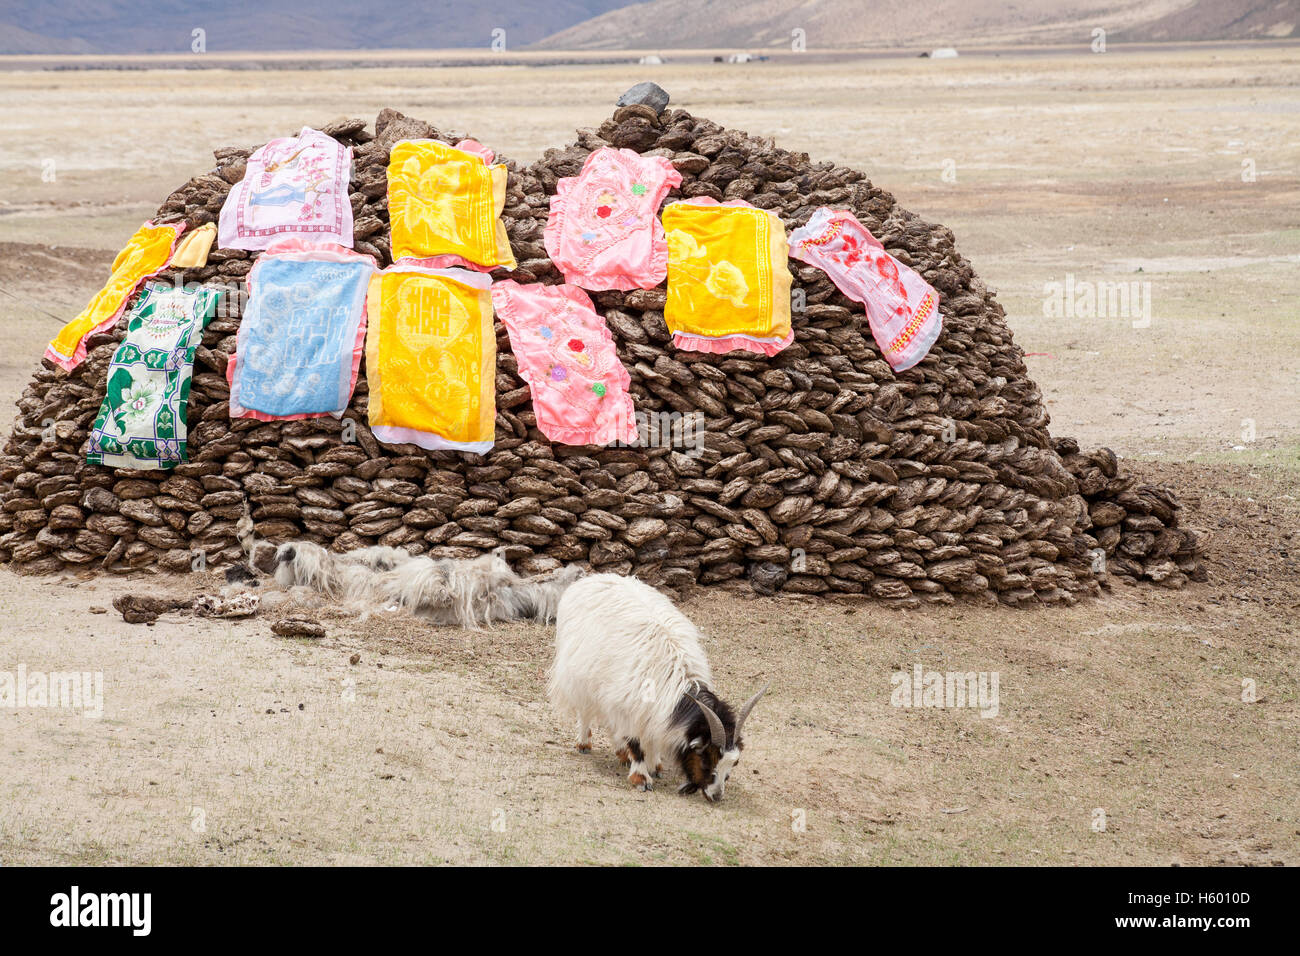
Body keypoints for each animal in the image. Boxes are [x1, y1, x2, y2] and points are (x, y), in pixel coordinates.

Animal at [548, 572, 767, 801]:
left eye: (734, 762)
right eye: (707, 759)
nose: (715, 796)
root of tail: (592, 578)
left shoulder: (649, 708)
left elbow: (651, 737)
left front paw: (654, 766)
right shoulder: (630, 705)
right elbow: (636, 742)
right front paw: (641, 777)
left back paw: (620, 752)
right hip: (580, 675)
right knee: (585, 710)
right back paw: (584, 743)